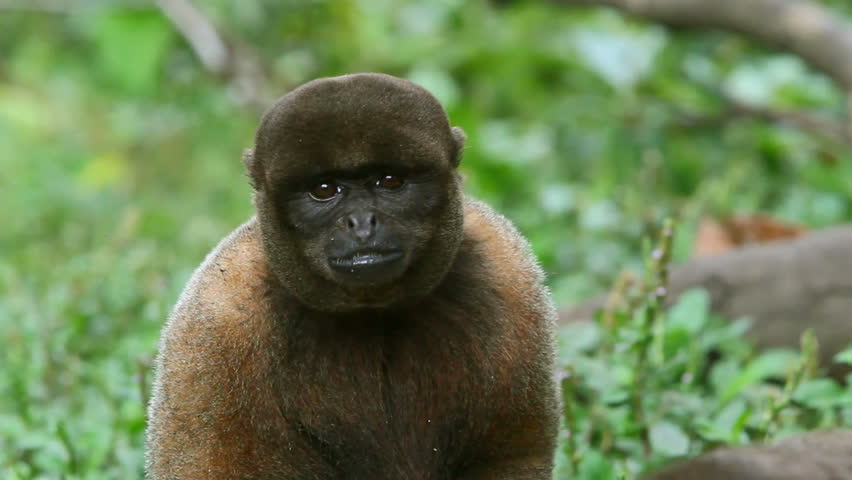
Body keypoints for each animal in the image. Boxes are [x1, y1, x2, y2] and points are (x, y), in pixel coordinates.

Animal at [145, 73, 560, 479]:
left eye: (390, 181)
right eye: (324, 189)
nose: (361, 223)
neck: (369, 311)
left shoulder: (509, 270)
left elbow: (510, 454)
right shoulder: (214, 322)